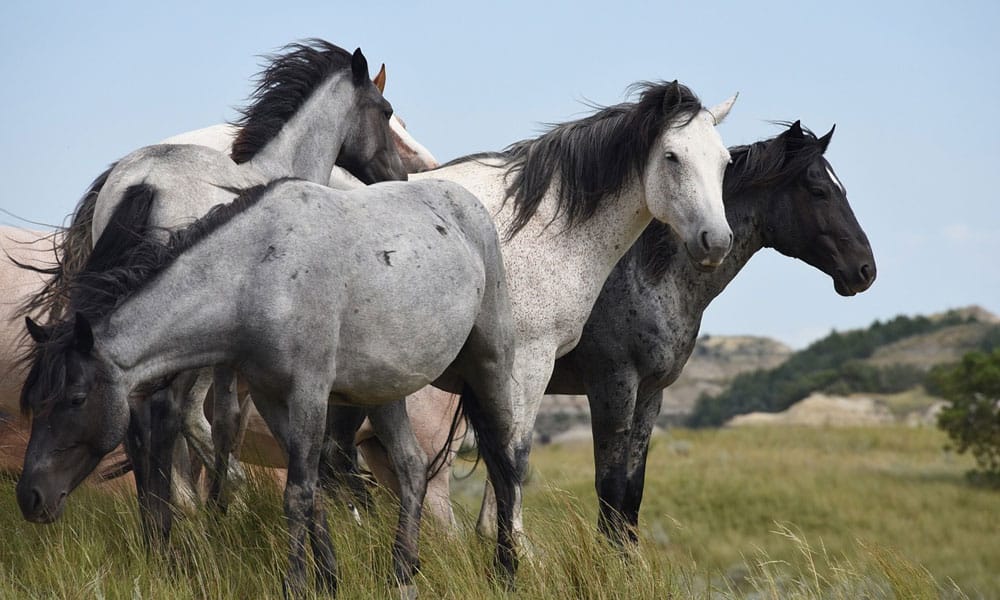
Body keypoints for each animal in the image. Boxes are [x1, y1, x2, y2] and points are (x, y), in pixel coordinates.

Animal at [16, 177, 519, 597]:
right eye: (36, 402)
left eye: (76, 399)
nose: (30, 497)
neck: (256, 274)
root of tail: (469, 207)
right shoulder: (271, 398)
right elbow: (313, 492)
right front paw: (327, 580)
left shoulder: (309, 393)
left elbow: (297, 493)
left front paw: (295, 583)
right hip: (386, 391)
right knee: (413, 468)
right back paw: (402, 572)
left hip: (489, 368)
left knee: (503, 463)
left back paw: (506, 569)